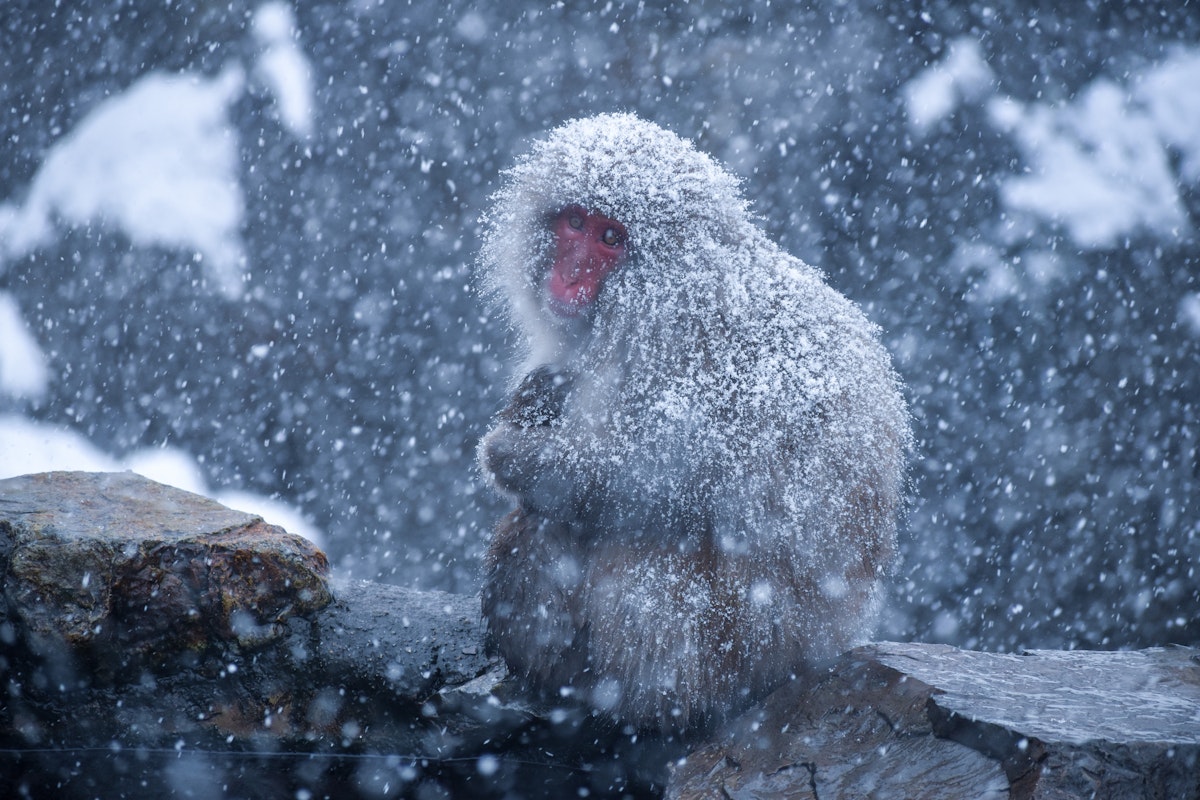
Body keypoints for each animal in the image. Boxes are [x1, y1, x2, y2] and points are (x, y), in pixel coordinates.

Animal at [477, 113, 911, 735]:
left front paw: (509, 455)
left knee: (624, 541)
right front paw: (540, 392)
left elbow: (656, 478)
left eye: (612, 238)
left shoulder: (684, 342)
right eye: (575, 222)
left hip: (736, 643)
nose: (568, 277)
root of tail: (821, 648)